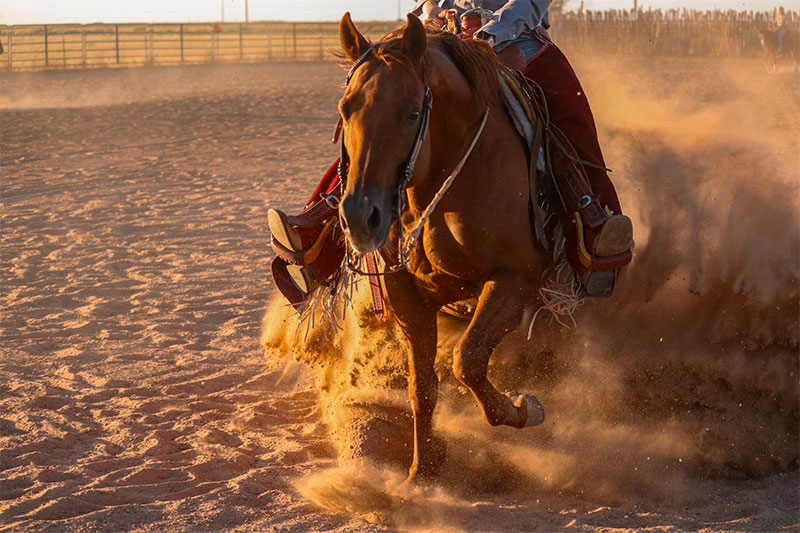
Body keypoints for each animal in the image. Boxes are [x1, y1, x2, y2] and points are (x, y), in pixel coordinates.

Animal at [336, 12, 551, 483]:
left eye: (413, 112)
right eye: (345, 109)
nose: (360, 215)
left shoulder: (517, 279)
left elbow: (466, 359)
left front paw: (523, 408)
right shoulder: (406, 295)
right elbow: (423, 386)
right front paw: (424, 469)